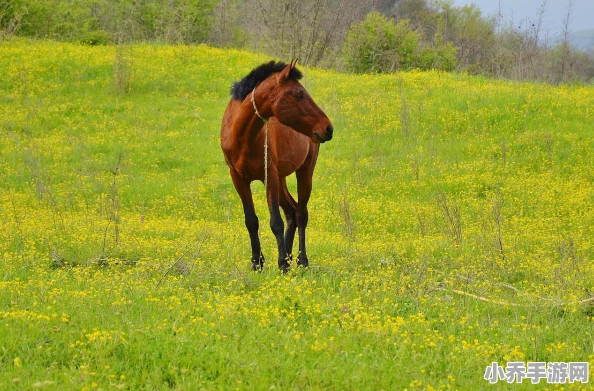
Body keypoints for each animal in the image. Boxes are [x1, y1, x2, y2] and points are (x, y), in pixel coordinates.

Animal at [221, 60, 332, 272]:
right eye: (298, 94)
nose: (328, 128)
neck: (243, 137)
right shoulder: (238, 178)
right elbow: (251, 221)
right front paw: (257, 262)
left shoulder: (269, 175)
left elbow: (276, 222)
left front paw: (282, 264)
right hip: (281, 179)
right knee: (292, 211)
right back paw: (288, 255)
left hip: (304, 173)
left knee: (301, 214)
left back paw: (301, 260)